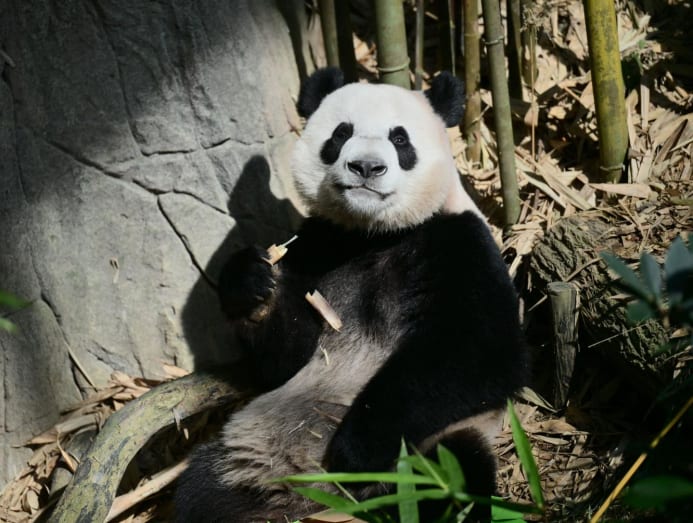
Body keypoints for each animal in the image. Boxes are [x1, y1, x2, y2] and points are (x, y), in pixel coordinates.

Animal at [175, 68, 529, 522]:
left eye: (401, 139)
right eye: (341, 133)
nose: (366, 167)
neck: (373, 231)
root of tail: (315, 500)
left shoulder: (458, 241)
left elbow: (482, 353)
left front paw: (355, 450)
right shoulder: (320, 242)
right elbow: (283, 363)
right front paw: (253, 283)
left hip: (438, 446)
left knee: (456, 476)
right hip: (245, 452)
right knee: (200, 492)